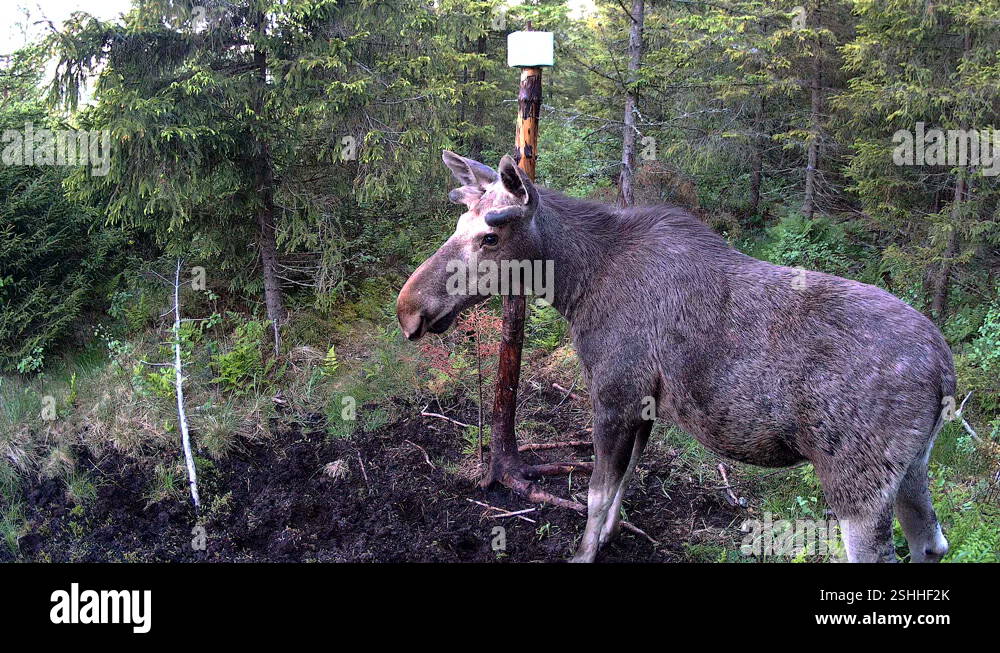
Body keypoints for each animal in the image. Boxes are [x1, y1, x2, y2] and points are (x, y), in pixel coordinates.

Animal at [396, 150, 955, 563]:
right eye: (458, 224)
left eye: (490, 236)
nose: (408, 309)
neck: (576, 286)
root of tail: (946, 372)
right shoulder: (644, 405)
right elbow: (623, 482)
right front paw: (609, 537)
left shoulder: (614, 395)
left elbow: (596, 493)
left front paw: (586, 551)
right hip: (912, 468)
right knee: (933, 542)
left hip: (855, 484)